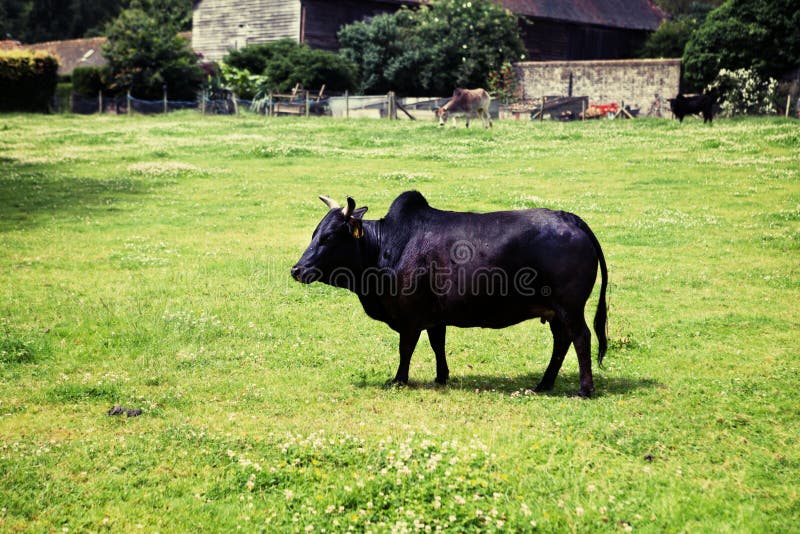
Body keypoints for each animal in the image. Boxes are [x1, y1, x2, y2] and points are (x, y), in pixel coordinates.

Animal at [291, 191, 609, 398]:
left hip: (570, 307)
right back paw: (544, 384)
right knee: (561, 342)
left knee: (581, 338)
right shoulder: (435, 317)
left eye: (329, 237)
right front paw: (441, 376)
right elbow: (437, 344)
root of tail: (569, 218)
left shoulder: (409, 319)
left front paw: (398, 380)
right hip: (554, 311)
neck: (384, 248)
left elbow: (406, 349)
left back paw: (584, 390)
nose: (297, 269)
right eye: (314, 233)